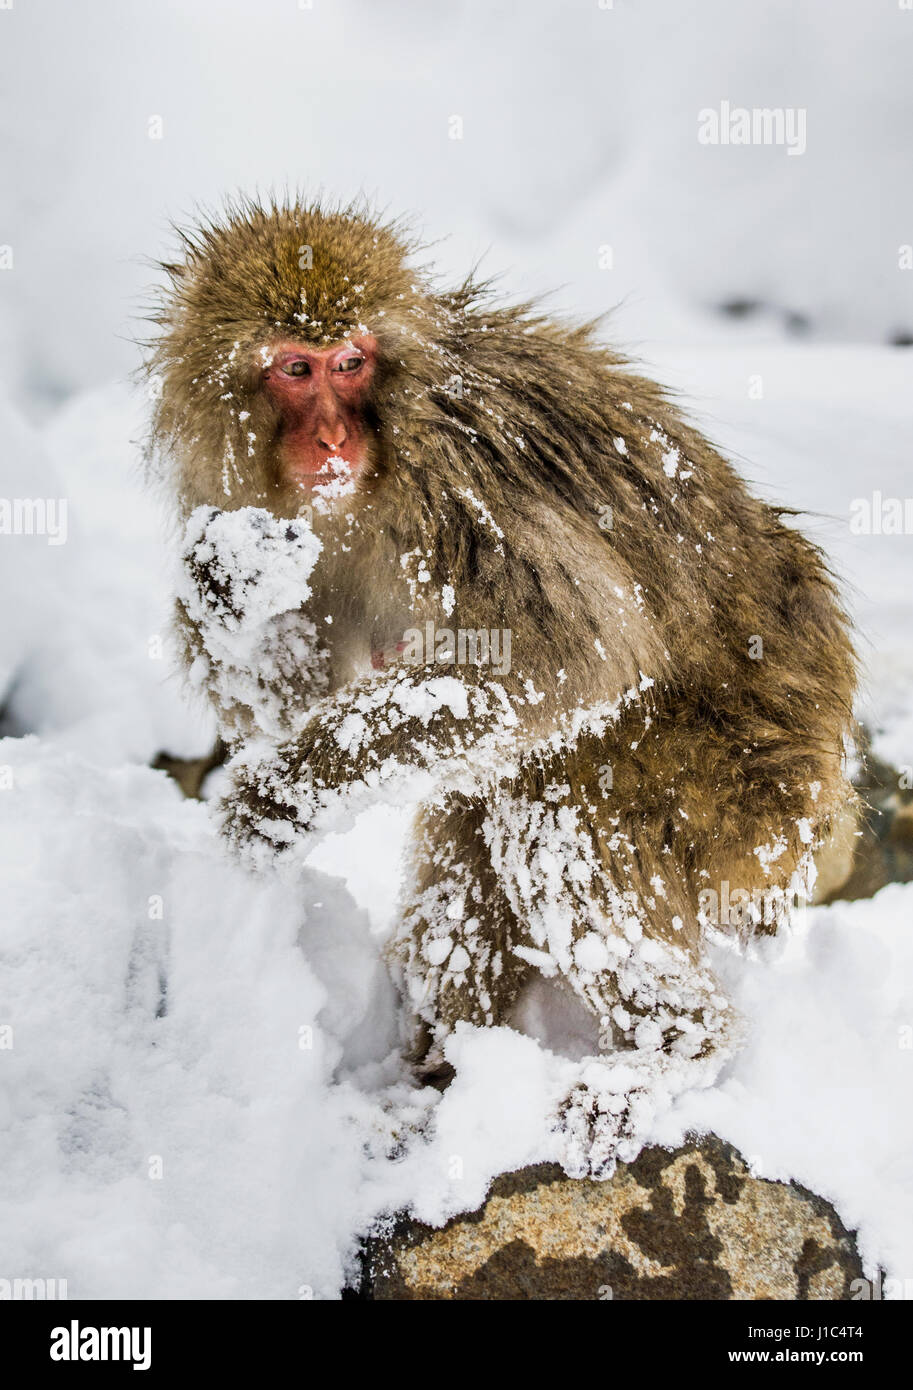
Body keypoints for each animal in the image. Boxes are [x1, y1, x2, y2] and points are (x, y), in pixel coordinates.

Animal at [145, 196, 857, 1177]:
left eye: (350, 363)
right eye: (294, 367)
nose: (332, 438)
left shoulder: (461, 483)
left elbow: (568, 656)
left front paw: (281, 795)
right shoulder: (242, 500)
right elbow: (294, 697)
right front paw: (223, 584)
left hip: (748, 798)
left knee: (561, 794)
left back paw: (668, 1052)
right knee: (474, 819)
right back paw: (437, 1078)